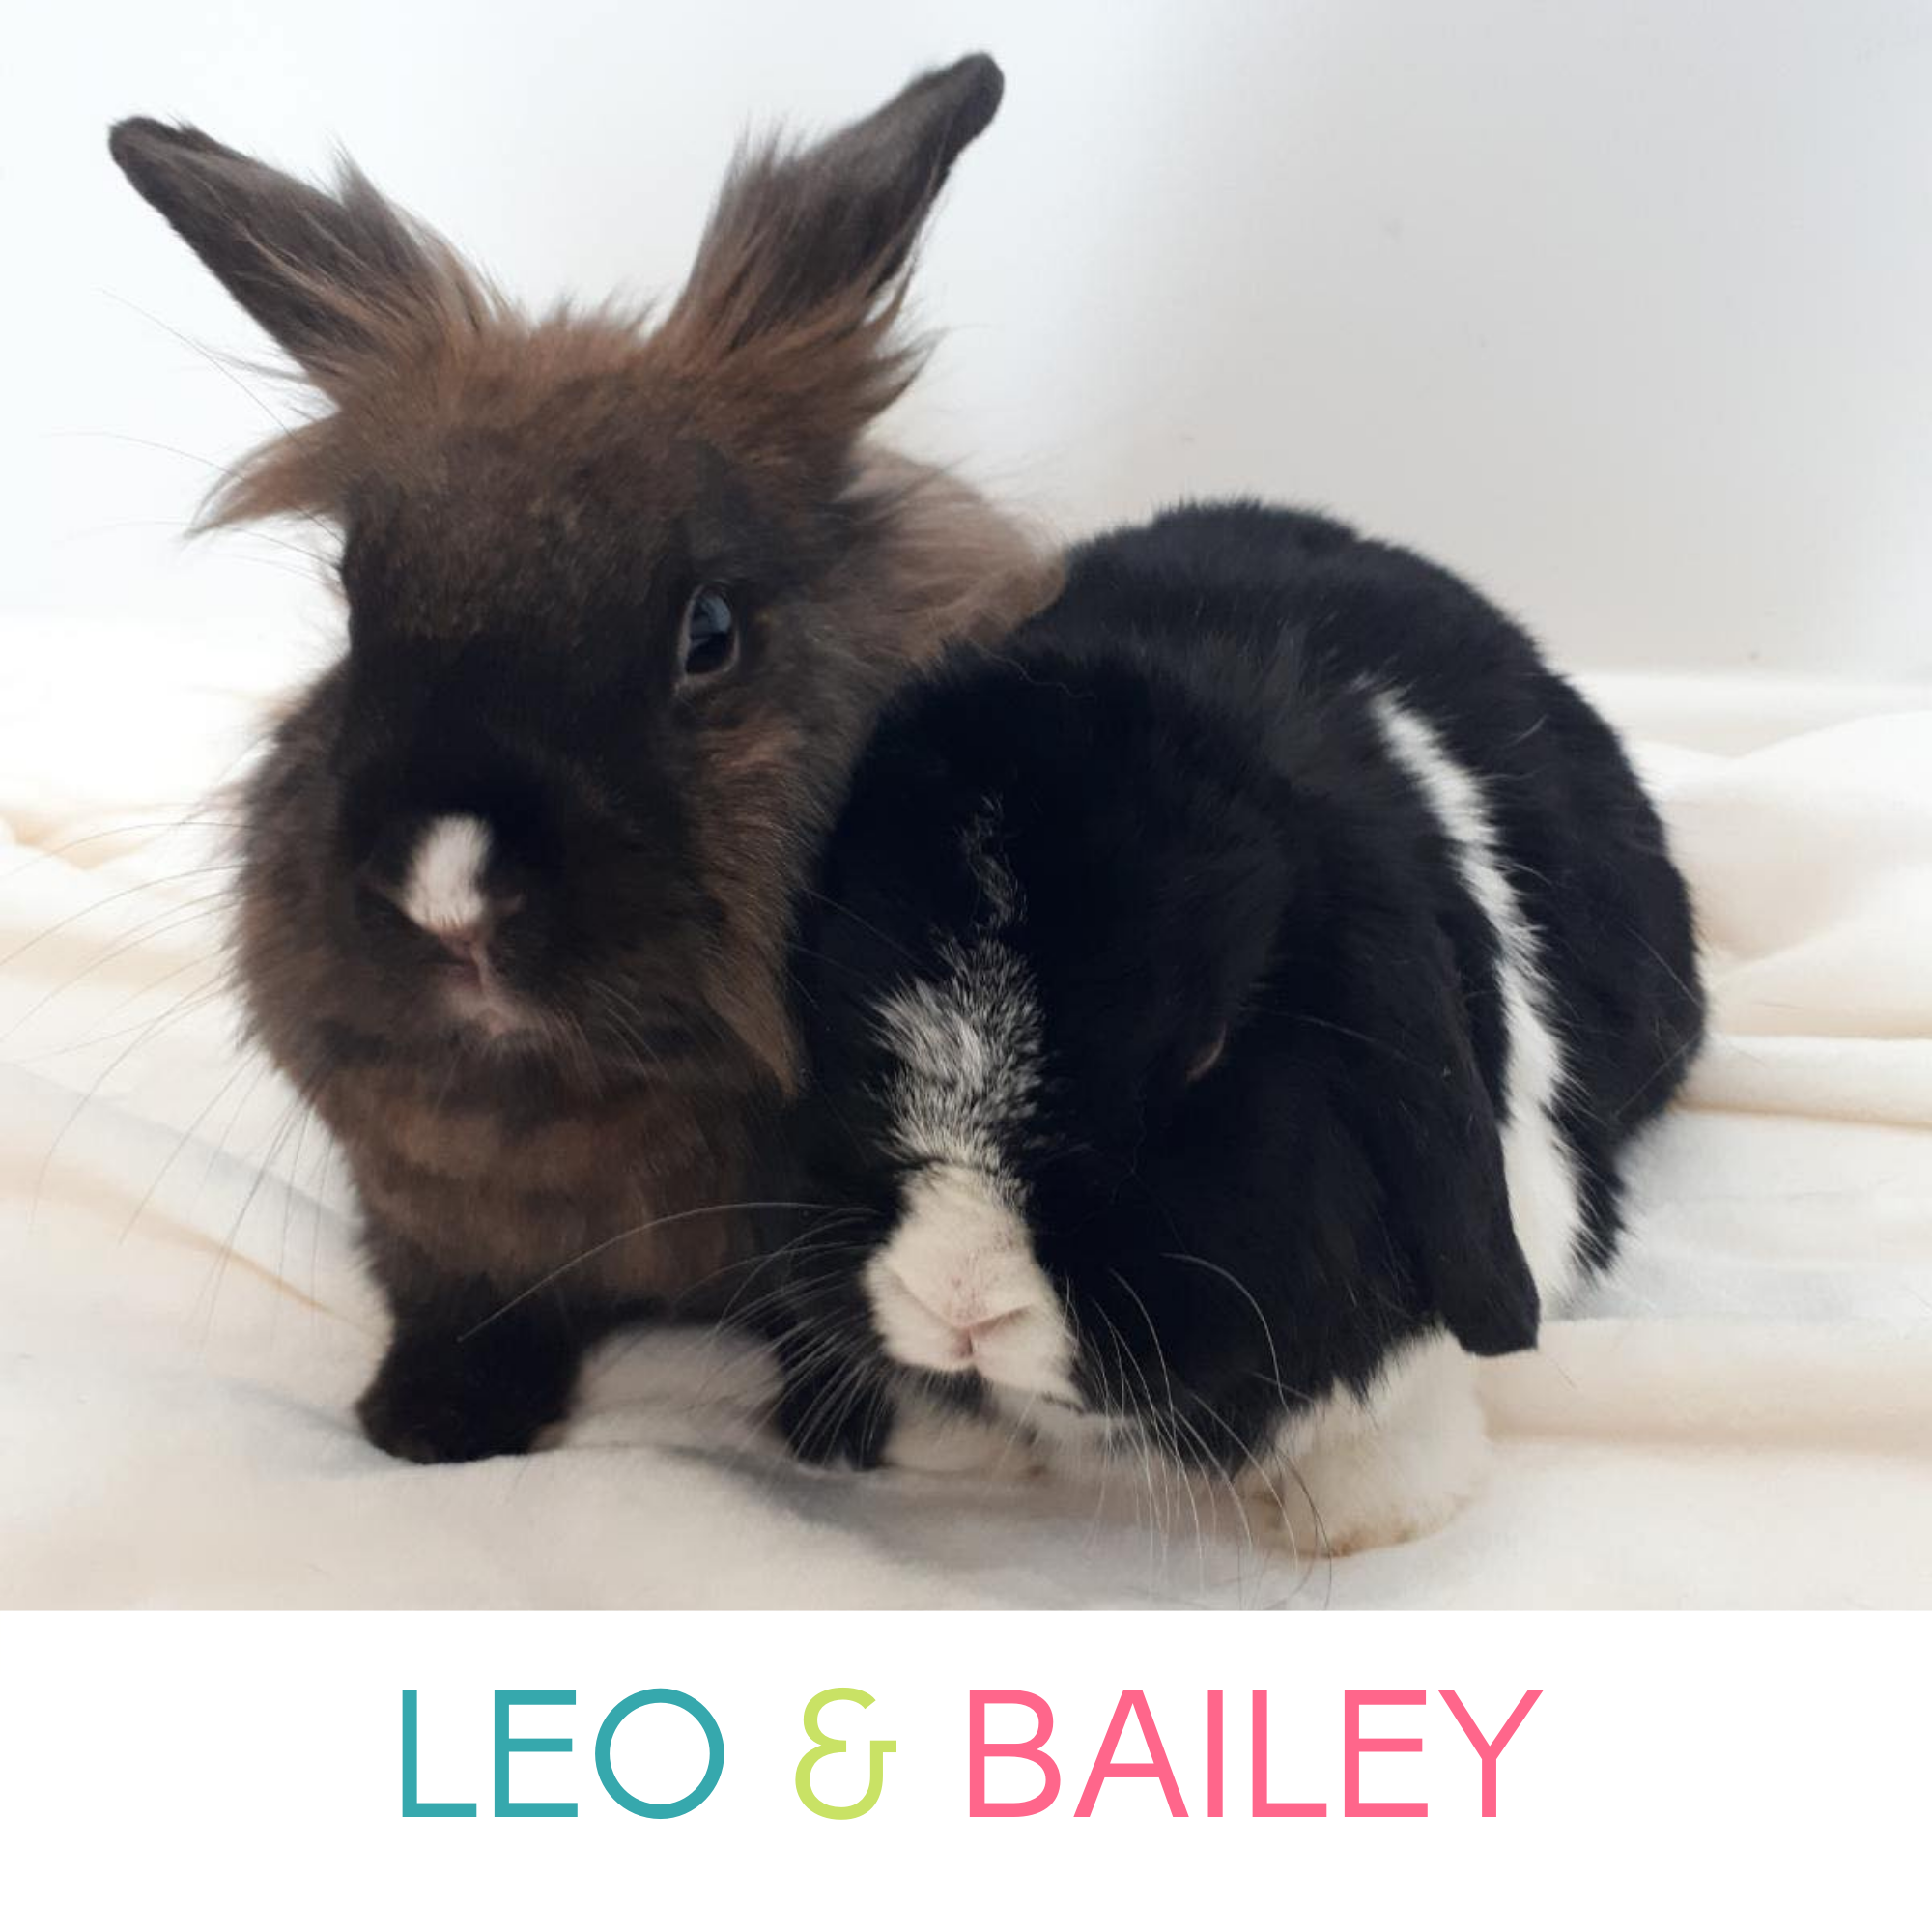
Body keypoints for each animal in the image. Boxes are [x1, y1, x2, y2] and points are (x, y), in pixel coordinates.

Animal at [106, 55, 1060, 1464]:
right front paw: (426, 1427)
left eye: (709, 633)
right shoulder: (431, 1224)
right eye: (354, 609)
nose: (450, 901)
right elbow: (461, 1306)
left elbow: (833, 1329)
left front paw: (829, 1438)